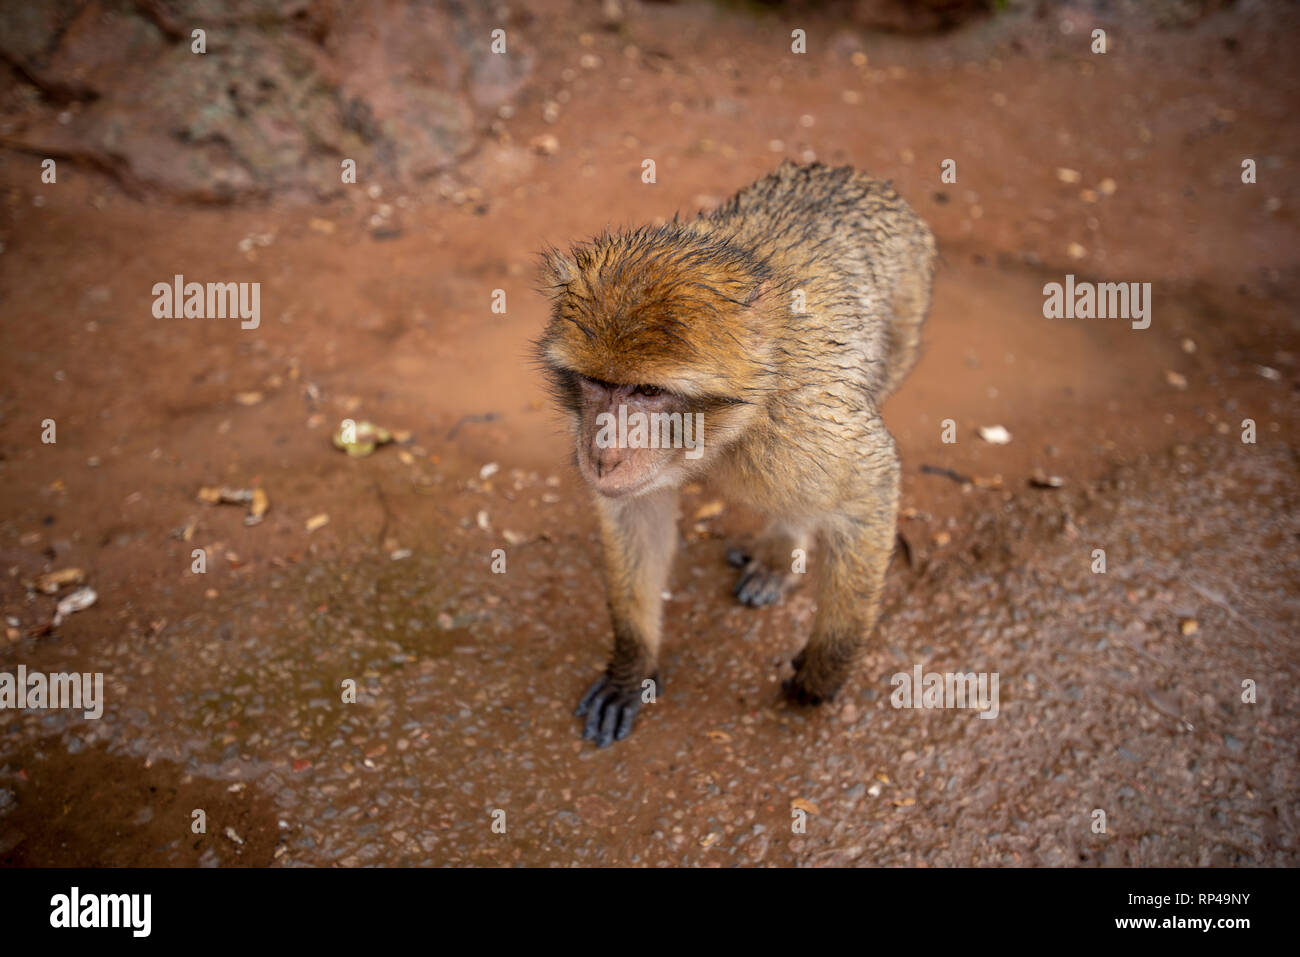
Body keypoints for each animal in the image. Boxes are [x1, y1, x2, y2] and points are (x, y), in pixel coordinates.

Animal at [536, 161, 935, 747]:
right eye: (596, 383)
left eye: (647, 391)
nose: (603, 454)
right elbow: (638, 514)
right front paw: (631, 665)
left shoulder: (805, 427)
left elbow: (870, 490)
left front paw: (823, 671)